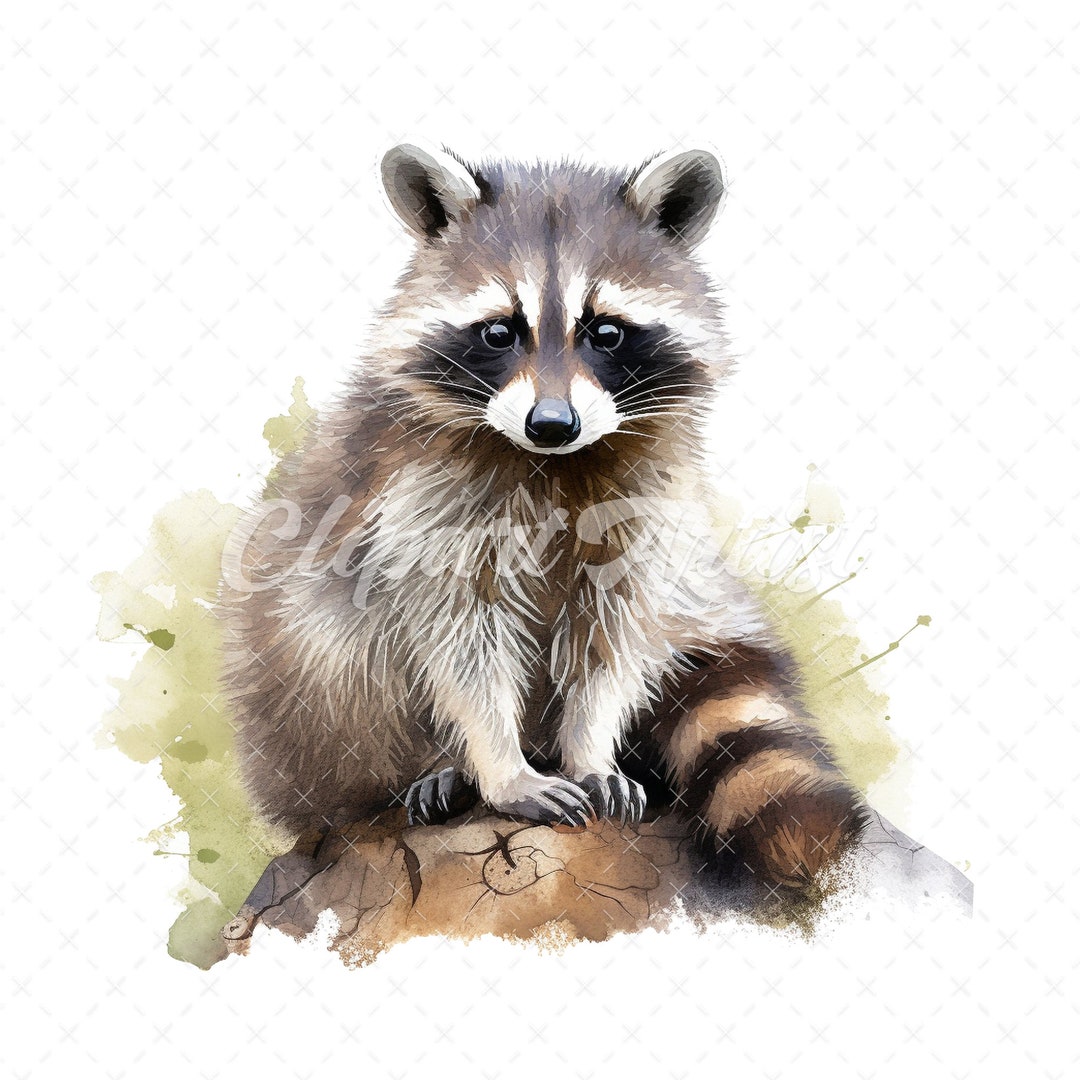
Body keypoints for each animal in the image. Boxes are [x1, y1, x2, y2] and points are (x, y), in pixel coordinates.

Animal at [219, 143, 866, 893]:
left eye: (606, 331)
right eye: (500, 330)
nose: (552, 423)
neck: (556, 463)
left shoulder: (643, 506)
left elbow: (609, 637)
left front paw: (589, 751)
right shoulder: (421, 502)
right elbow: (460, 640)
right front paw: (502, 767)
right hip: (299, 695)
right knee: (337, 643)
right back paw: (435, 768)